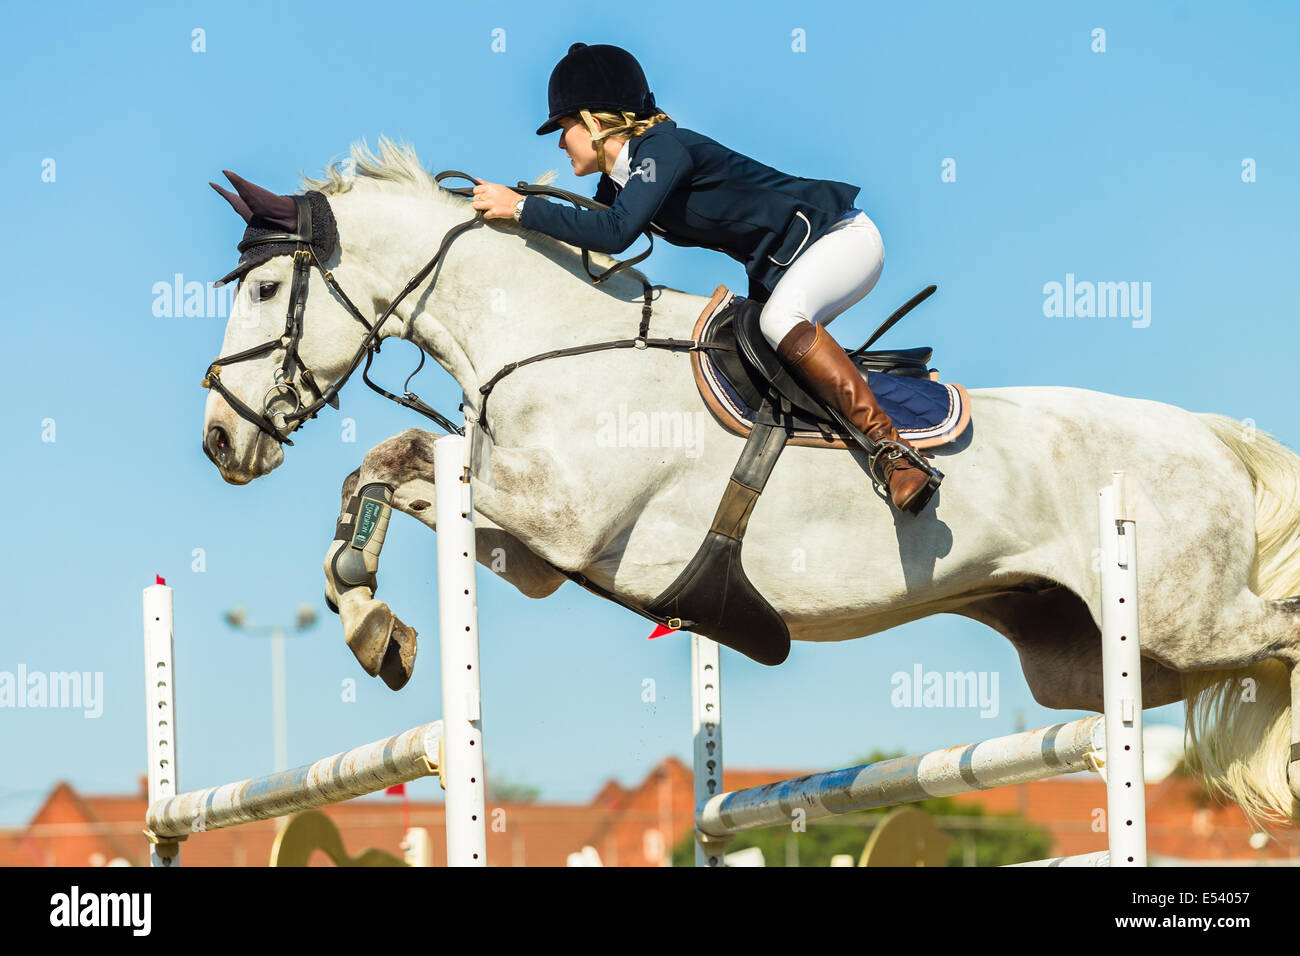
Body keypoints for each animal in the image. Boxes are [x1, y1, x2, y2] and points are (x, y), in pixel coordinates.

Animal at [200, 138, 1300, 830]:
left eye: (266, 287)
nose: (218, 440)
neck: (550, 339)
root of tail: (1212, 437)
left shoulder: (557, 515)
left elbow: (402, 461)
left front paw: (367, 617)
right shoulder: (530, 548)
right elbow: (385, 466)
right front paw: (369, 624)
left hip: (1188, 617)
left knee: (1281, 633)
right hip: (1100, 658)